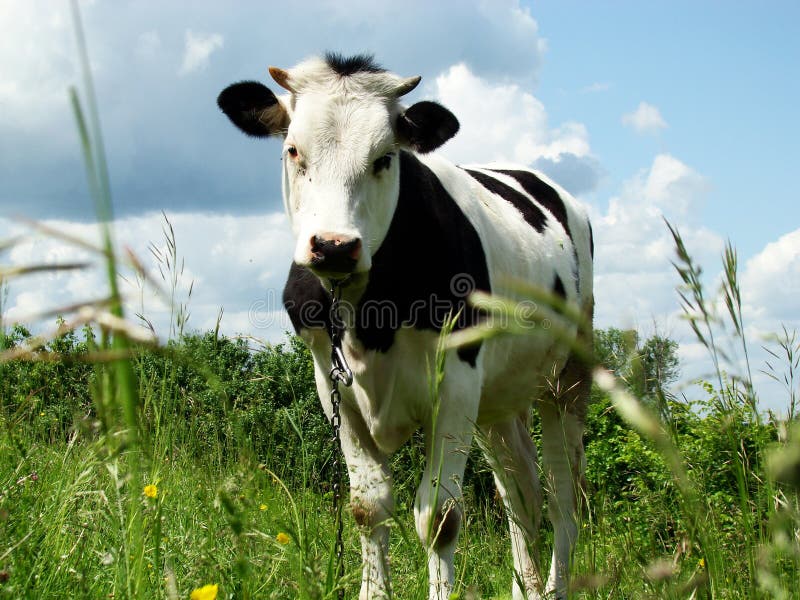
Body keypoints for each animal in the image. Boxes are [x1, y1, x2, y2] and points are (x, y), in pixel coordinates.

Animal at [218, 53, 594, 600]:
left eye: (384, 157)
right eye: (292, 149)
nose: (333, 246)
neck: (369, 316)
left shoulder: (455, 385)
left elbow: (440, 518)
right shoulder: (334, 387)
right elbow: (368, 509)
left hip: (567, 376)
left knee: (564, 497)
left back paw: (554, 583)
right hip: (499, 399)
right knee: (521, 489)